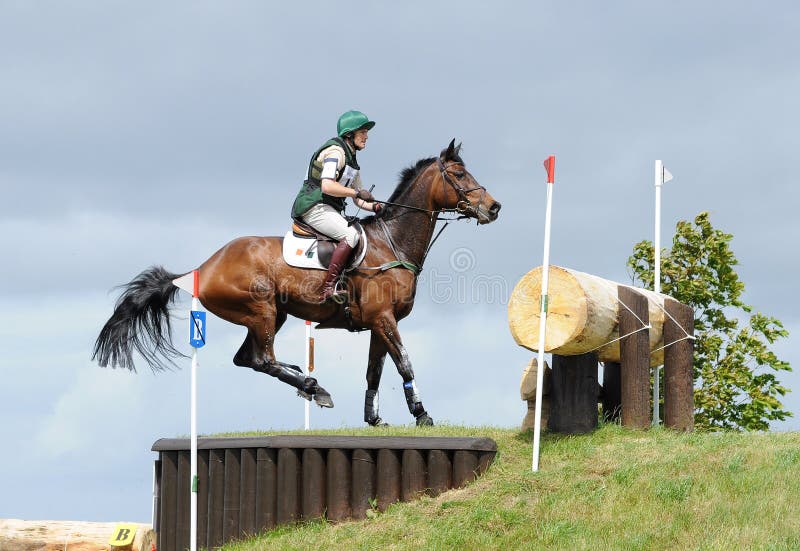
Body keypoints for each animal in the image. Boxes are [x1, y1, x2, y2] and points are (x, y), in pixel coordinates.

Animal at [93, 140, 501, 426]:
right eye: (459, 175)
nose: (493, 207)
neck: (392, 242)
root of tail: (202, 268)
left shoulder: (379, 323)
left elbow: (375, 370)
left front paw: (373, 418)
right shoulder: (383, 319)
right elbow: (405, 365)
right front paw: (422, 414)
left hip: (273, 315)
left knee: (248, 359)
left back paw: (308, 383)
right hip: (261, 309)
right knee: (263, 359)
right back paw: (314, 387)